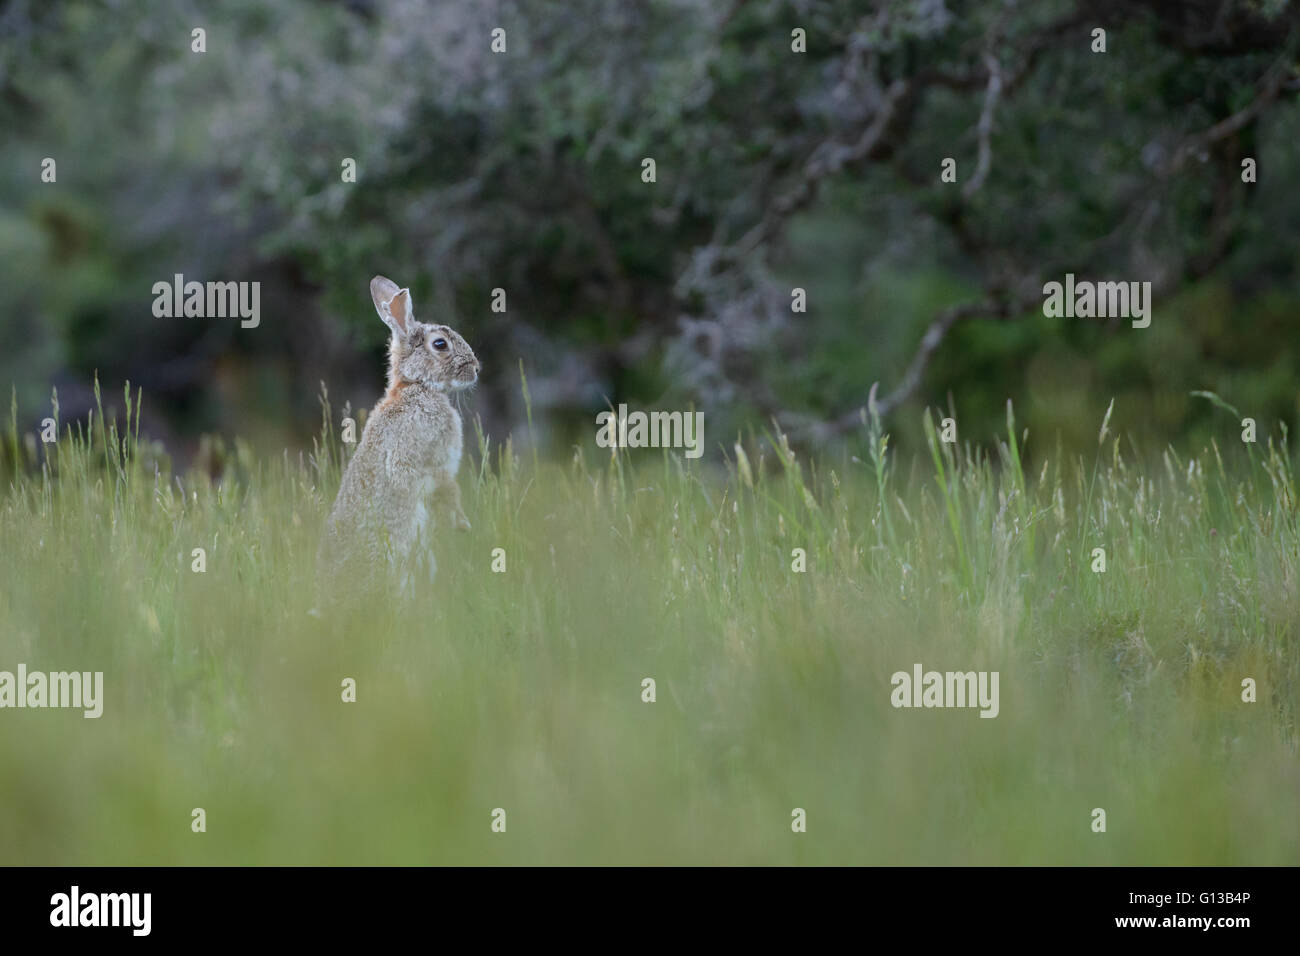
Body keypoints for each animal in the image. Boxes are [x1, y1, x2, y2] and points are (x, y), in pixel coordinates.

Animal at [318, 275, 479, 594]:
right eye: (440, 344)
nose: (476, 369)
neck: (416, 385)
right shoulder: (423, 460)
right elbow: (440, 486)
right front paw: (462, 522)